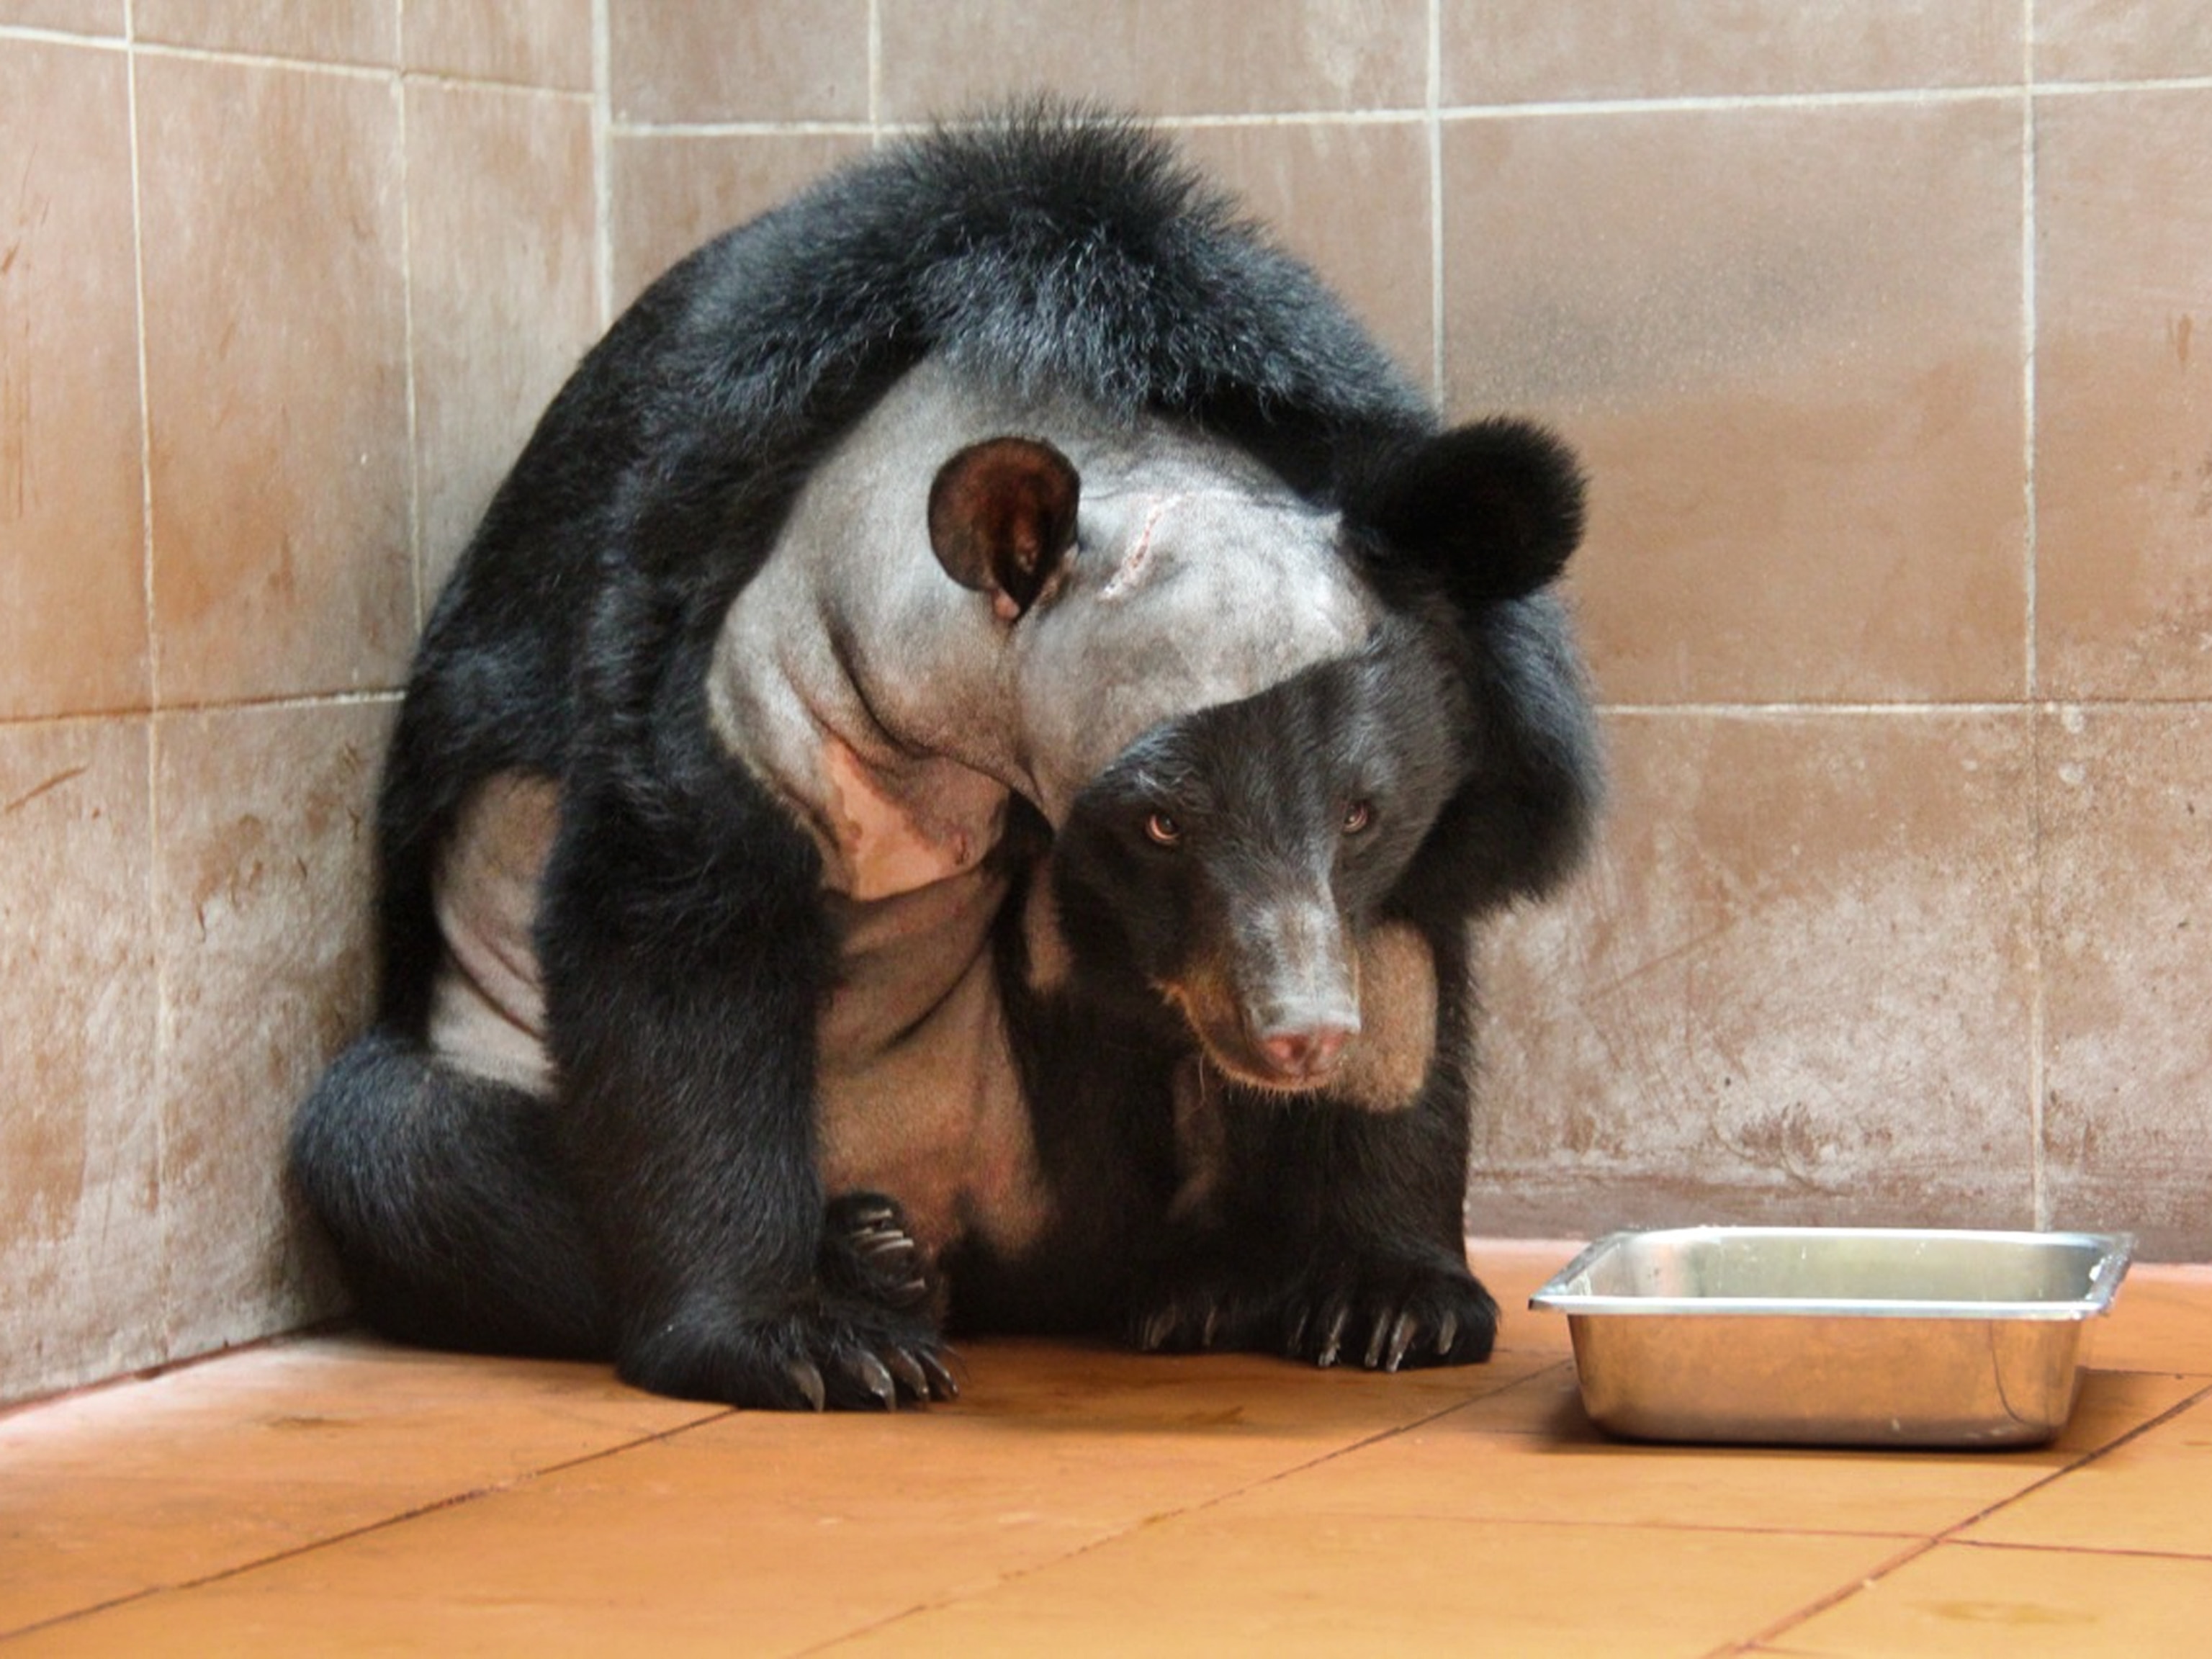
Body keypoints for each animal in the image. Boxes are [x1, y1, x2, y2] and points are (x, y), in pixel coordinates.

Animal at [286, 107, 1599, 1410]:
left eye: (1365, 813)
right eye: (1161, 819)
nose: (1298, 1037)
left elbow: (1406, 991)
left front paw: (1388, 1298)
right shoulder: (762, 665)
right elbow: (675, 933)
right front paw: (802, 1340)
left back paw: (1200, 1281)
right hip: (487, 1036)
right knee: (398, 1148)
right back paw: (876, 1255)